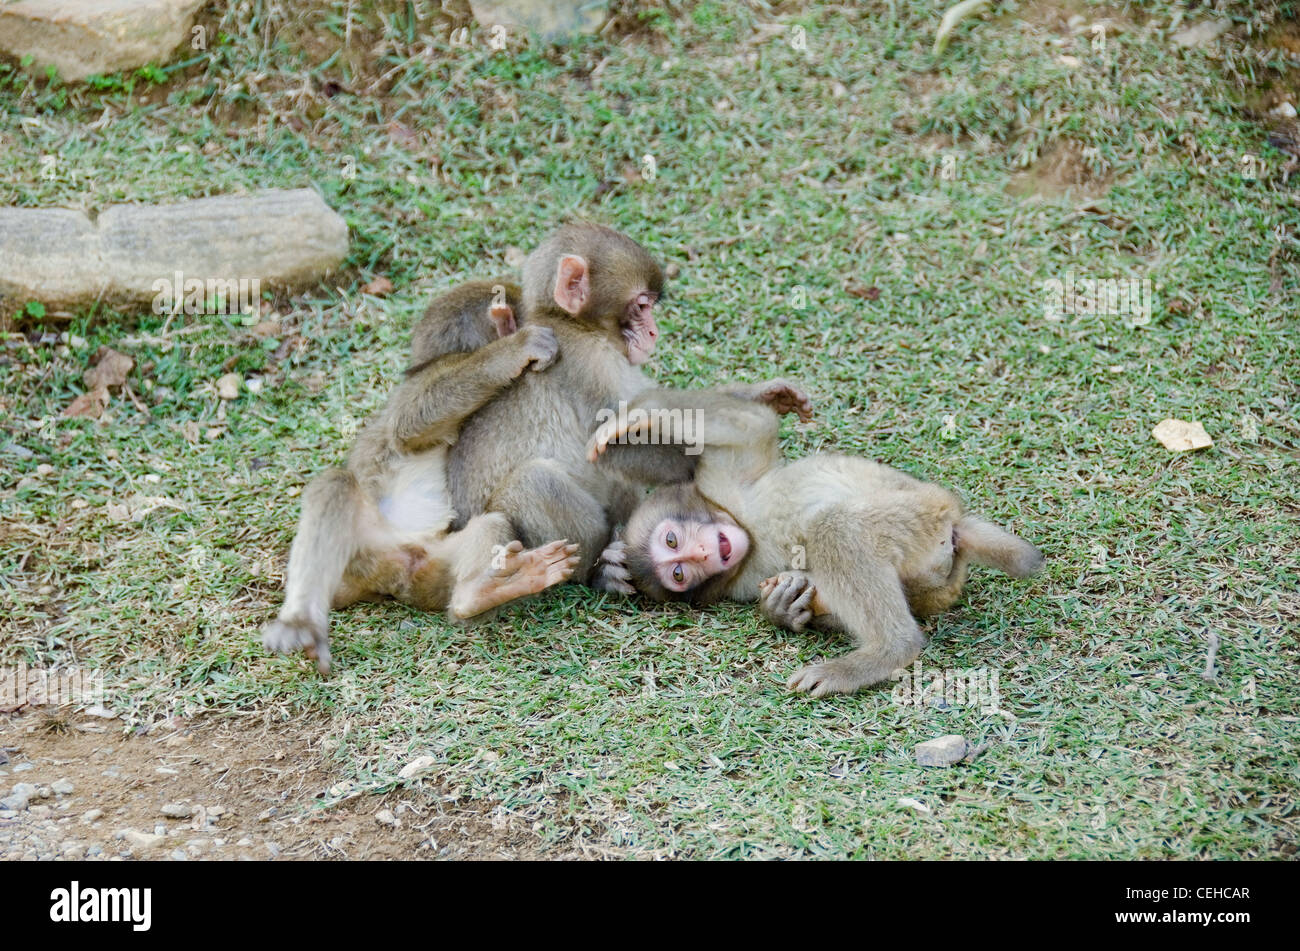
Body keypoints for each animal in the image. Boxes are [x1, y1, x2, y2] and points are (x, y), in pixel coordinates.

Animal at [262, 284, 579, 675]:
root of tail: (395, 580)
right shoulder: (432, 374)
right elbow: (410, 422)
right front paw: (516, 348)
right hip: (365, 553)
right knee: (334, 485)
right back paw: (302, 620)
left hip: (435, 565)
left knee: (490, 525)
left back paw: (478, 595)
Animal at [586, 388, 1044, 697]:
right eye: (679, 572)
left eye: (672, 539)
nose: (700, 553)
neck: (747, 535)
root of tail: (952, 522)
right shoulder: (739, 582)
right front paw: (783, 608)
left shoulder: (723, 483)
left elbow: (752, 424)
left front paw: (640, 414)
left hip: (921, 511)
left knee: (834, 527)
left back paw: (890, 650)